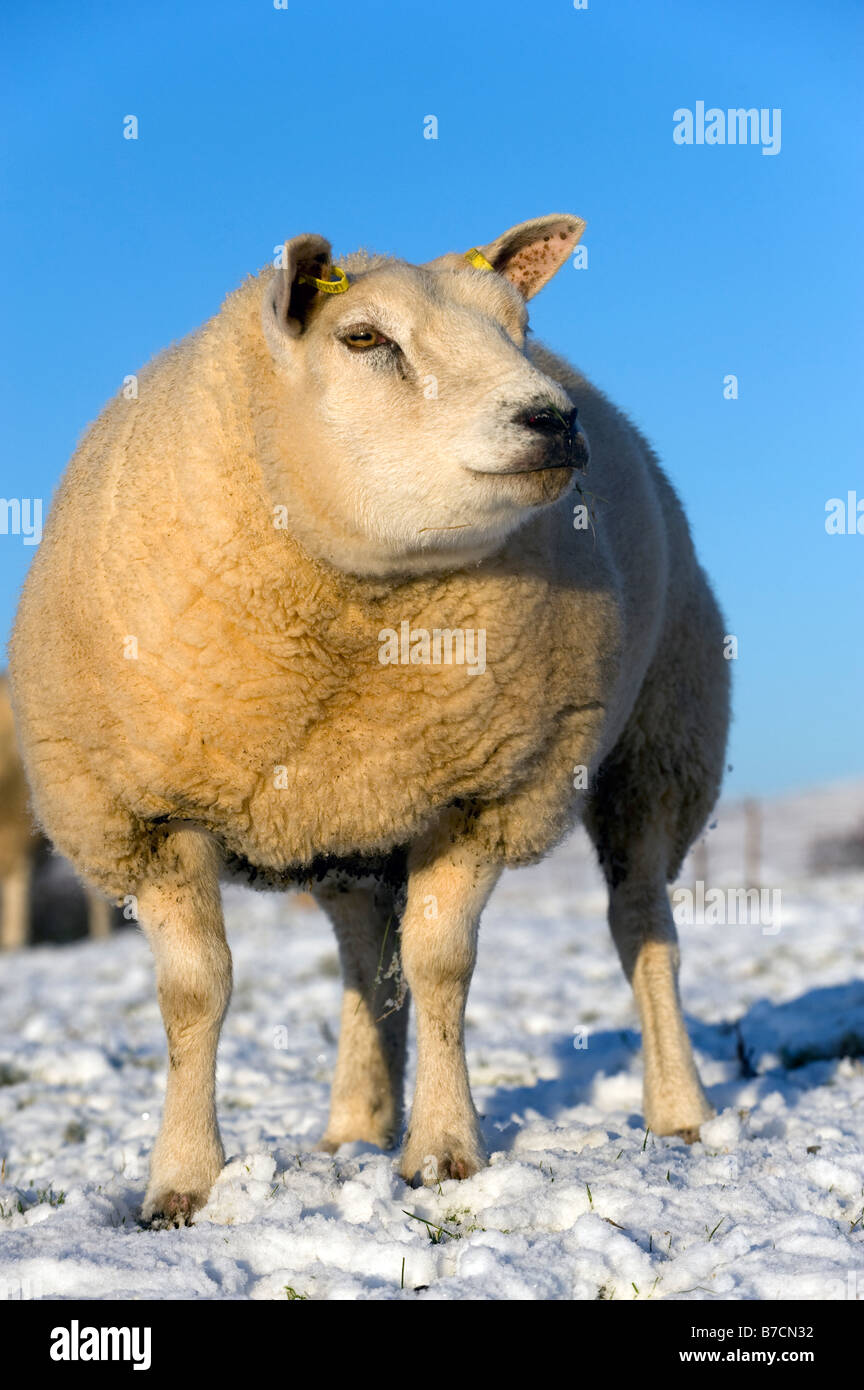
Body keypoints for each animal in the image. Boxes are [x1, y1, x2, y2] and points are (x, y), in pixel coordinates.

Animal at [9, 214, 730, 1225]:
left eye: (521, 325)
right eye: (362, 339)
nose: (552, 419)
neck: (350, 609)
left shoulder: (485, 789)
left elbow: (441, 967)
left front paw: (443, 1152)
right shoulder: (147, 810)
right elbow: (196, 993)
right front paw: (182, 1184)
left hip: (660, 743)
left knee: (641, 924)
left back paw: (680, 1113)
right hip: (346, 820)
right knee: (362, 957)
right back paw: (353, 1126)